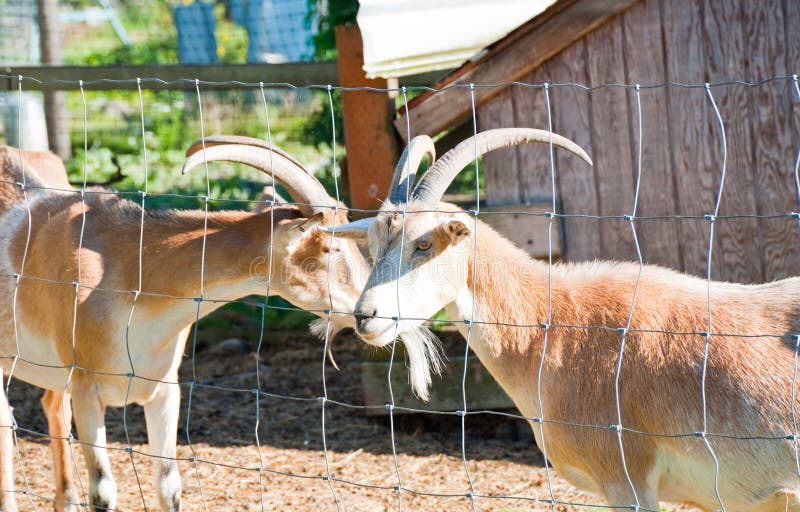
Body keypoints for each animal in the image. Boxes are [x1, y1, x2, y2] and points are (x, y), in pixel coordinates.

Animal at [0, 137, 367, 512]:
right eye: (330, 248)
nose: (369, 310)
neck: (129, 270)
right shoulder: (87, 388)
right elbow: (103, 492)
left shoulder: (164, 389)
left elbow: (169, 486)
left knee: (50, 406)